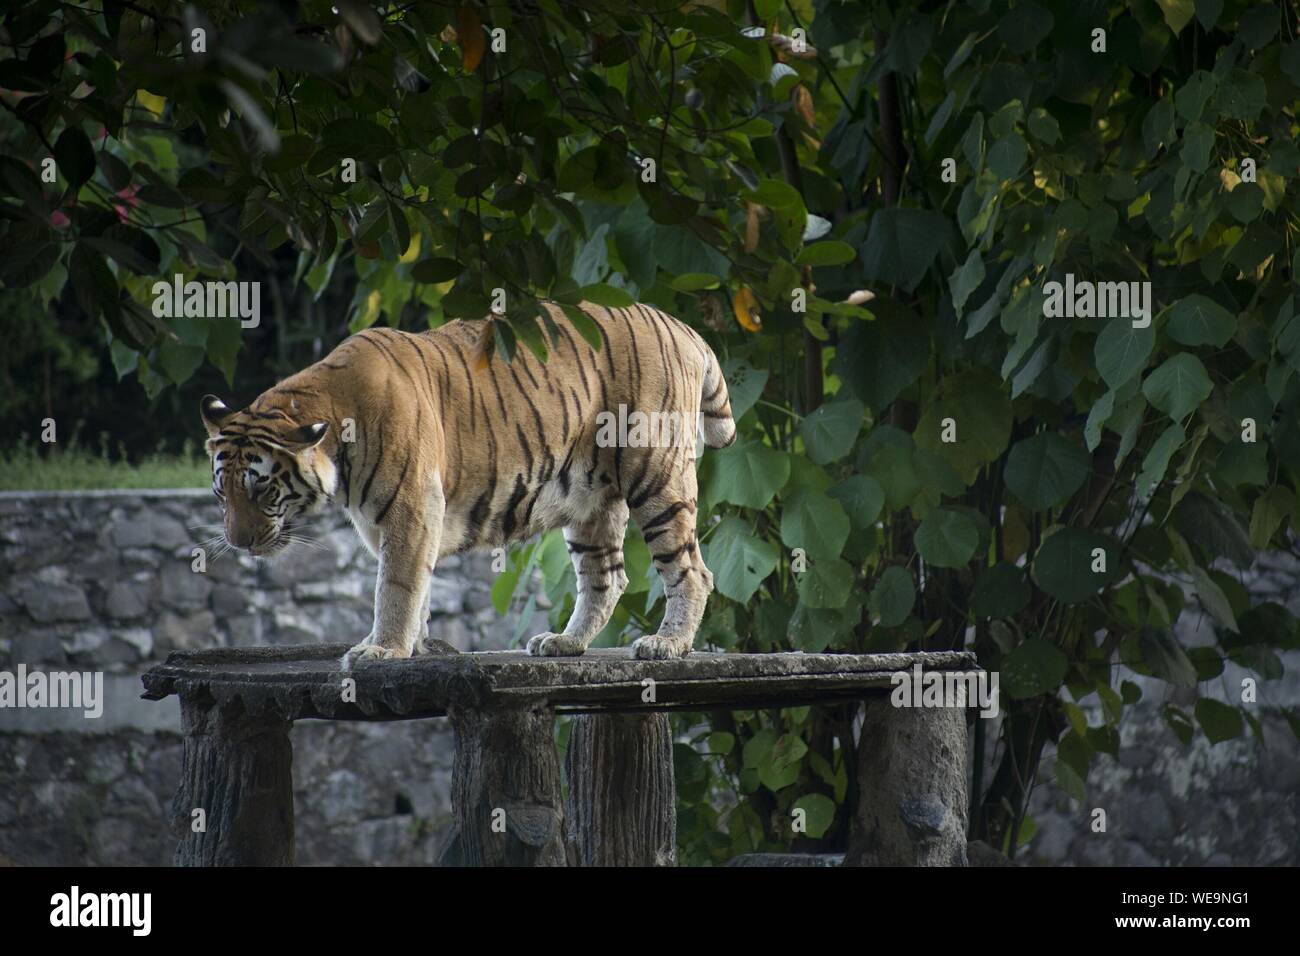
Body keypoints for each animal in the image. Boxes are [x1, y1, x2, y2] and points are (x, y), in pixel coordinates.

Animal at [200, 301, 737, 670]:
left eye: (263, 490)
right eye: (222, 493)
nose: (238, 542)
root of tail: (682, 327)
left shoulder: (412, 506)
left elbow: (395, 584)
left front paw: (382, 649)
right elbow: (417, 584)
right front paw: (414, 646)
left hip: (658, 478)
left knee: (693, 570)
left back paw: (667, 644)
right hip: (591, 502)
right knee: (607, 578)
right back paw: (564, 642)